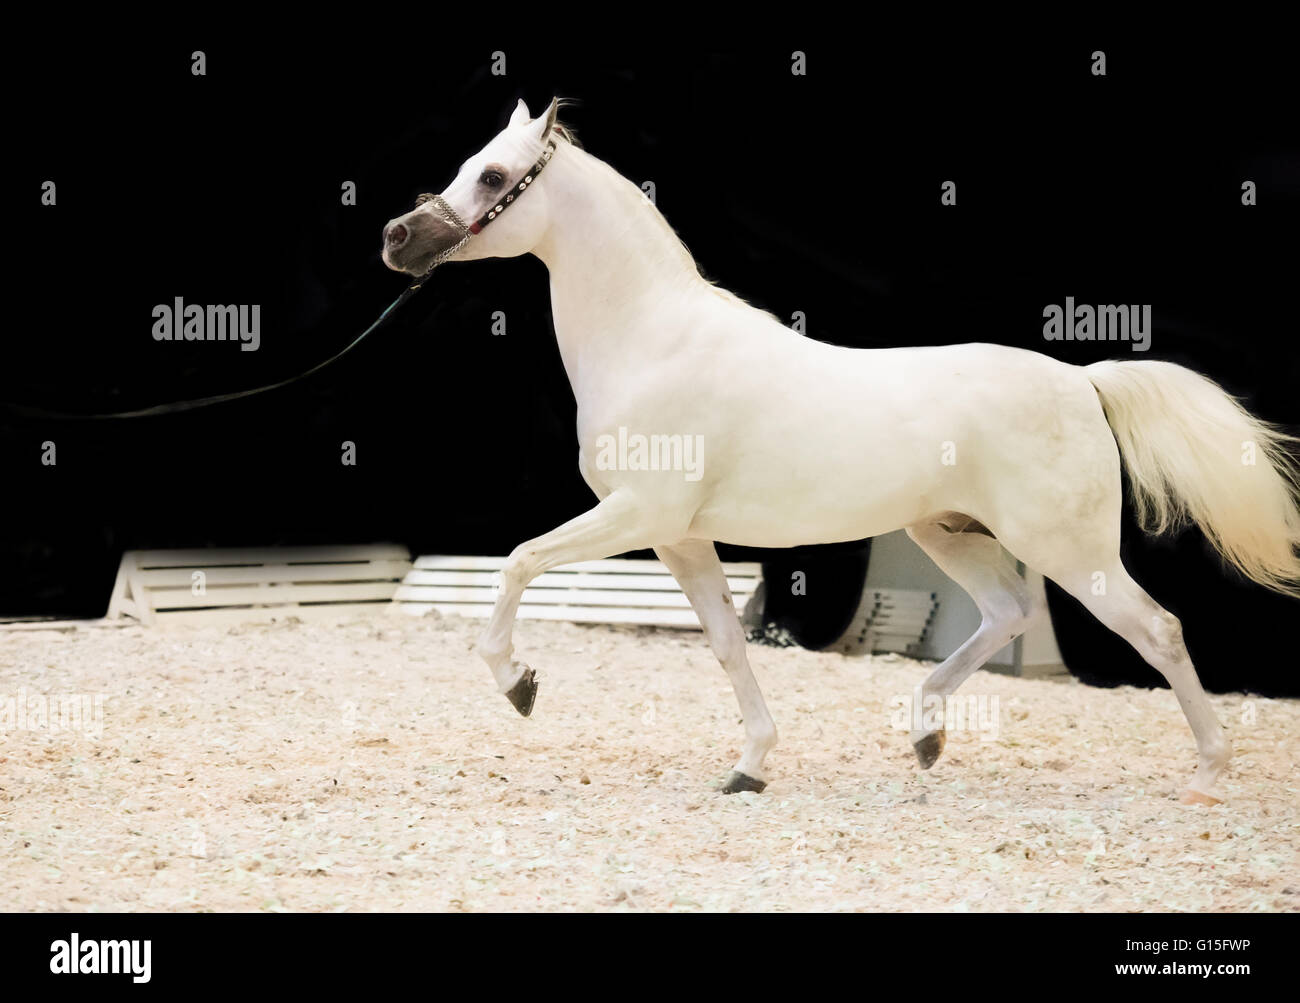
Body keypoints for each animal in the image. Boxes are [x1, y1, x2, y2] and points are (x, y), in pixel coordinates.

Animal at [382, 98, 1300, 805]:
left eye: (493, 177)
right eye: (465, 166)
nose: (397, 238)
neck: (655, 340)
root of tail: (1081, 380)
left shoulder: (638, 515)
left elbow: (518, 561)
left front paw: (518, 683)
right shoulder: (680, 538)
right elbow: (728, 644)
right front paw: (749, 768)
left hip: (1069, 548)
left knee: (1158, 629)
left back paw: (1208, 775)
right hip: (949, 533)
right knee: (1008, 612)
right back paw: (926, 733)